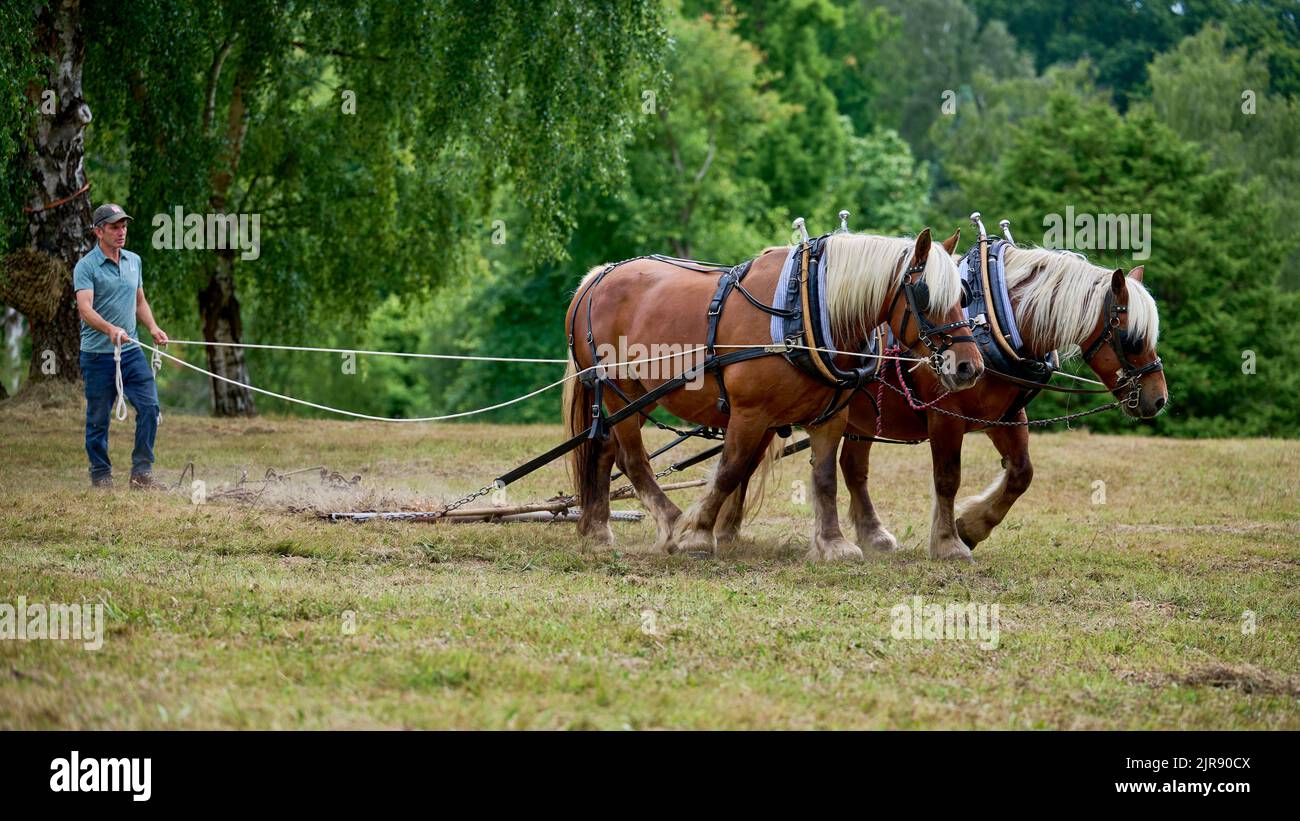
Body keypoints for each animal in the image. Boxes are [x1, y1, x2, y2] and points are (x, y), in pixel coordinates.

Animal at [562, 229, 984, 561]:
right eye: (925, 294)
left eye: (963, 295)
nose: (969, 367)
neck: (805, 311)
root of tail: (597, 278)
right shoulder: (750, 414)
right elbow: (729, 471)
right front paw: (697, 534)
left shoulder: (831, 417)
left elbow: (825, 478)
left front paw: (833, 543)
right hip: (619, 391)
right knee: (634, 460)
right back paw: (671, 522)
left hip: (631, 398)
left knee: (603, 451)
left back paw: (597, 530)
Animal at [720, 243, 1168, 561]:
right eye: (1133, 337)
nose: (1158, 398)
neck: (994, 322)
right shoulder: (946, 417)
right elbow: (948, 478)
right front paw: (950, 541)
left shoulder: (1005, 417)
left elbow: (1021, 474)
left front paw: (973, 525)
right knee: (748, 462)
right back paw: (725, 529)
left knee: (852, 469)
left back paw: (872, 534)